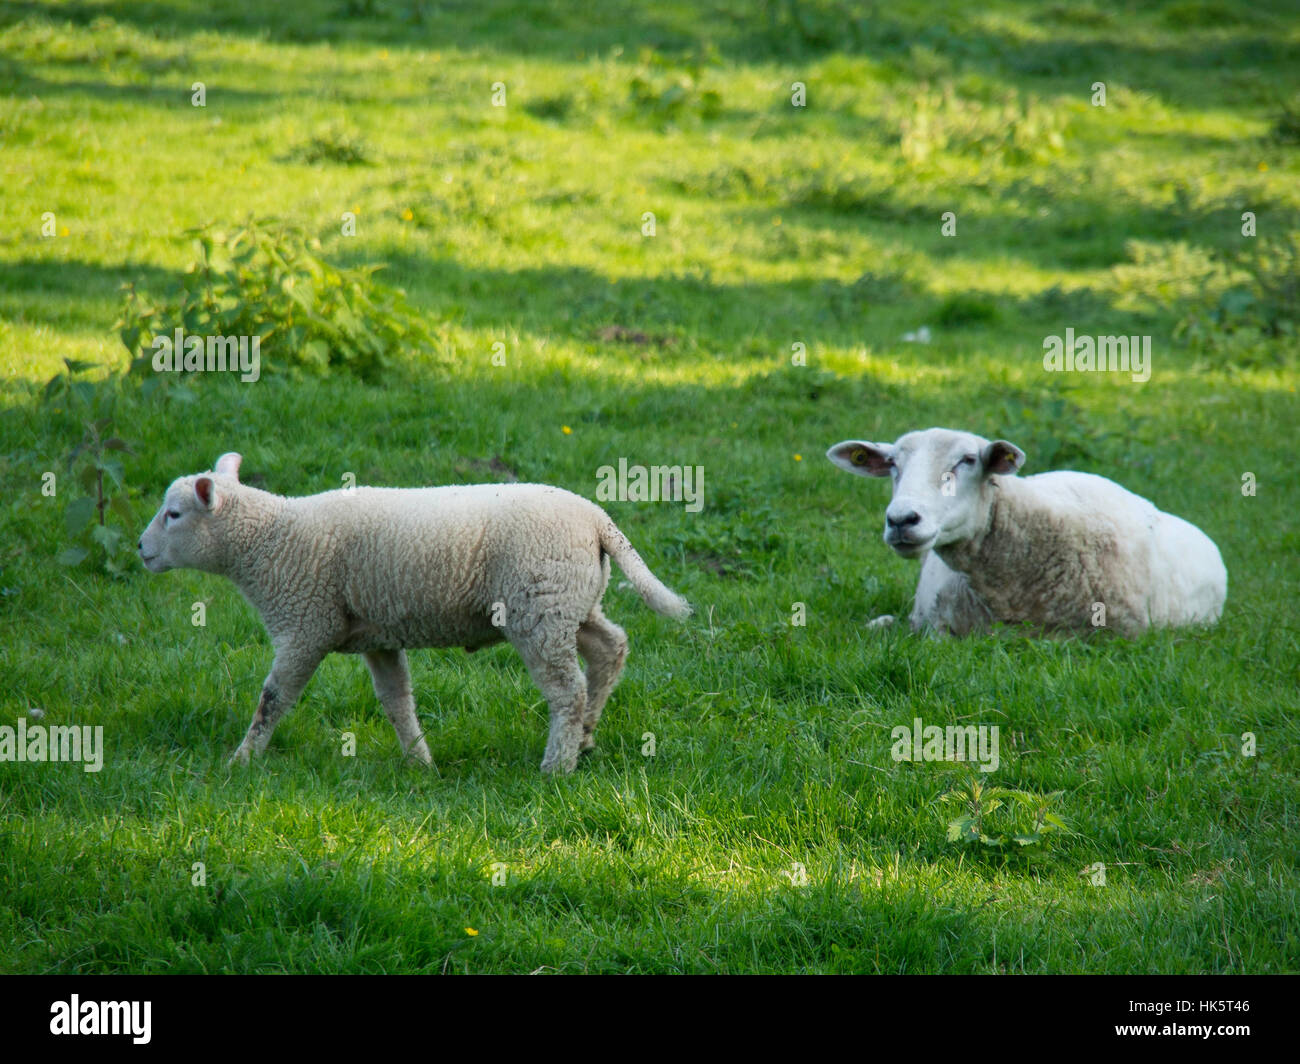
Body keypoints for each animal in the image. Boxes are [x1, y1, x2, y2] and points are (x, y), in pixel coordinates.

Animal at [138, 452, 691, 774]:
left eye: (174, 514)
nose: (141, 549)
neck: (269, 539)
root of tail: (598, 519)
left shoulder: (306, 625)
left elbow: (273, 699)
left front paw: (242, 760)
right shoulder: (376, 636)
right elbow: (396, 700)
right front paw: (420, 761)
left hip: (540, 610)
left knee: (566, 689)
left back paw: (557, 765)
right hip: (571, 602)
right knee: (610, 649)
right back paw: (587, 737)